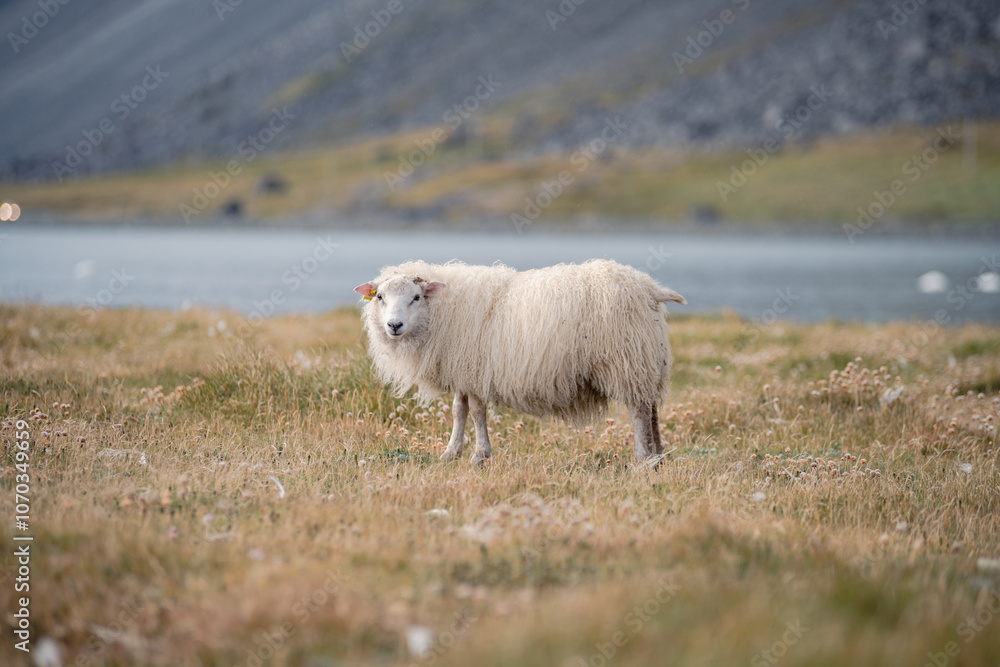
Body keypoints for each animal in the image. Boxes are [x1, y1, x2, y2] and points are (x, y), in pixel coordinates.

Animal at [353, 259, 685, 466]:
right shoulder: (463, 368)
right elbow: (459, 410)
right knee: (652, 410)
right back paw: (658, 458)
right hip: (646, 359)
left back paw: (643, 461)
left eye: (416, 297)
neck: (444, 308)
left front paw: (479, 456)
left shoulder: (475, 368)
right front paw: (451, 453)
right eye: (380, 297)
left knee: (639, 412)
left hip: (626, 360)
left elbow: (477, 412)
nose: (394, 325)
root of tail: (649, 287)